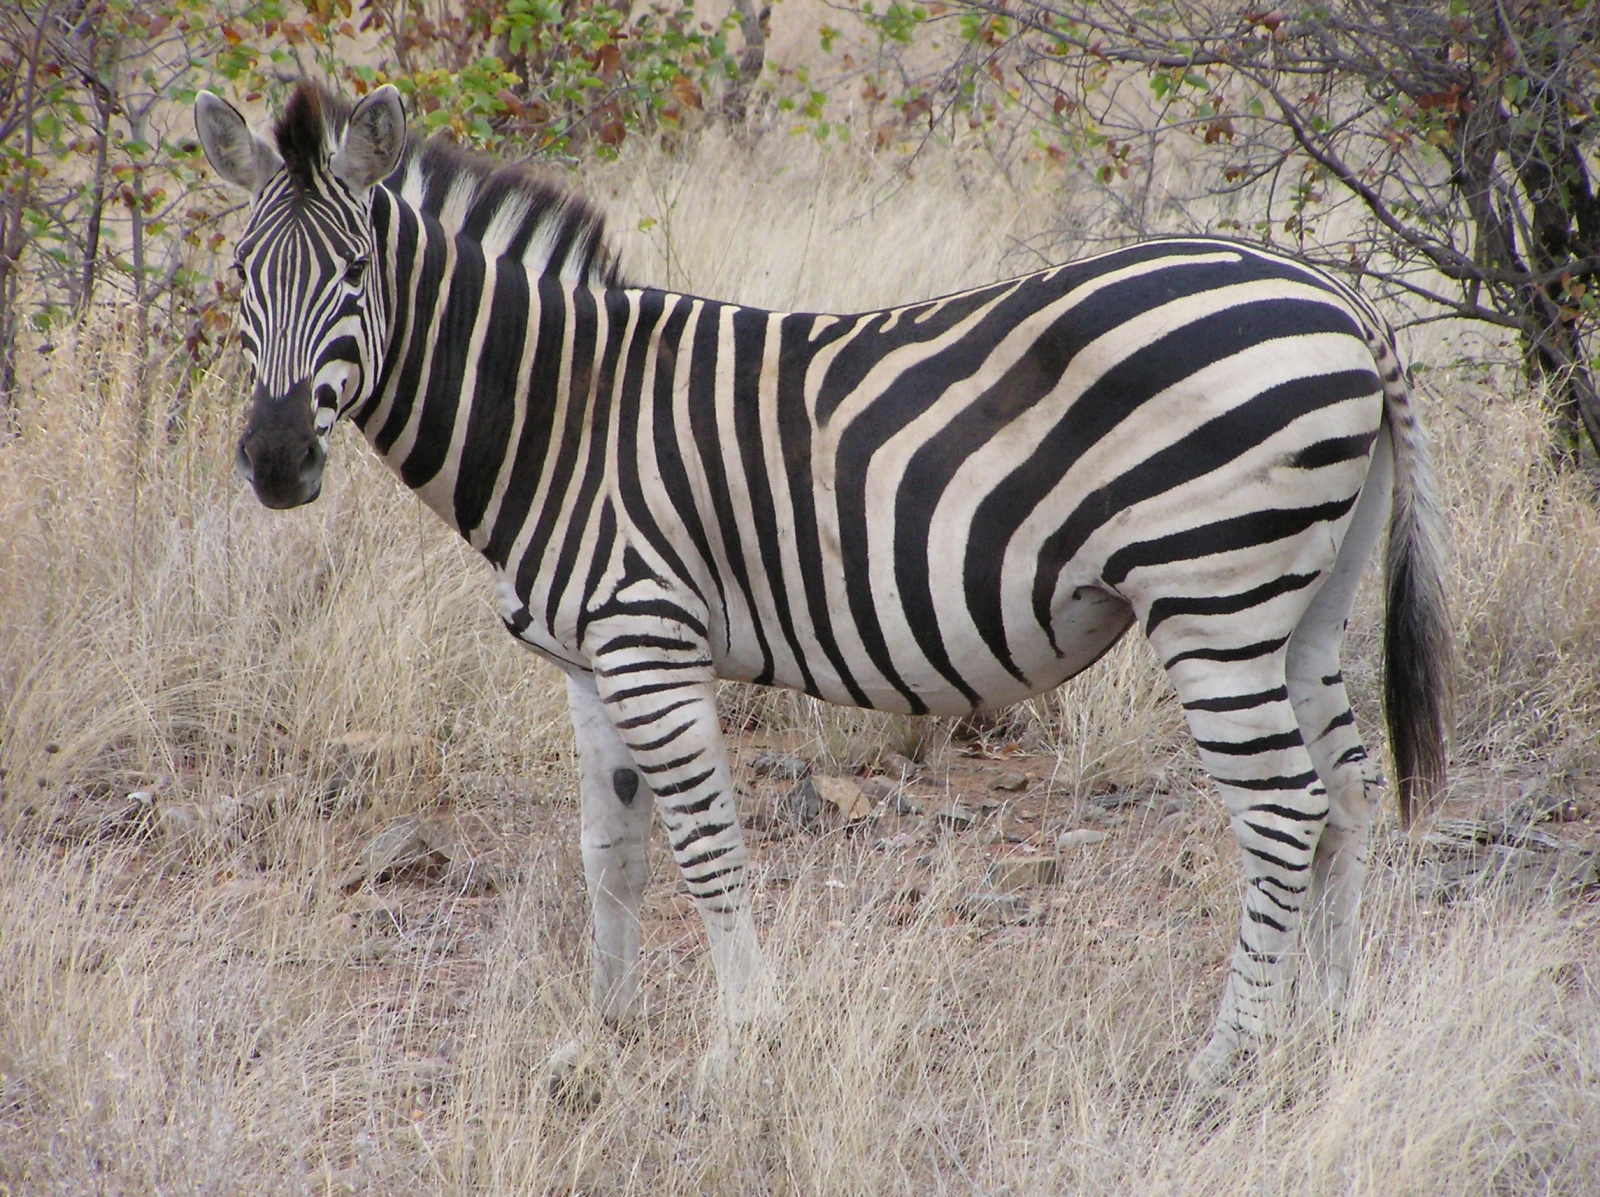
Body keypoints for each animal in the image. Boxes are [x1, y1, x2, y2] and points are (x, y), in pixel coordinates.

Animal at [194, 80, 1451, 1091]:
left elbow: (705, 846)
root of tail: (1344, 304)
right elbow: (612, 854)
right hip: (1302, 601)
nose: (275, 462)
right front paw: (597, 1044)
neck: (567, 412)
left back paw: (1224, 1059)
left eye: (356, 272)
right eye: (241, 275)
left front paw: (743, 1042)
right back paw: (1329, 1029)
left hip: (1210, 598)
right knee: (1344, 793)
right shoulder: (589, 662)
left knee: (1281, 809)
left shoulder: (649, 642)